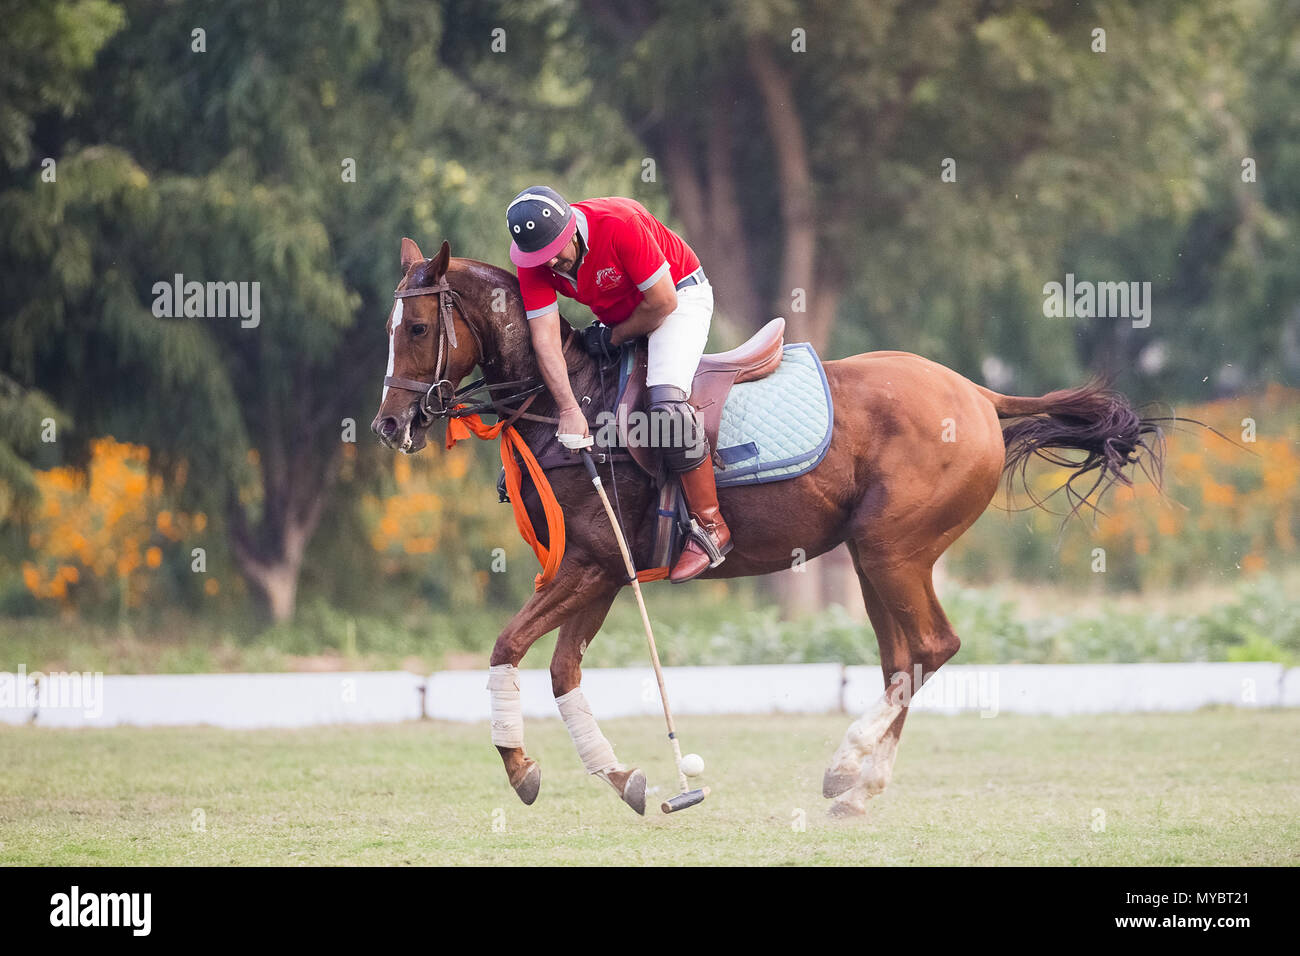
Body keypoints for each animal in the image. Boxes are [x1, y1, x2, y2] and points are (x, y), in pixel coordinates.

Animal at [370, 238, 1163, 817]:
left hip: (893, 547)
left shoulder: (590, 565)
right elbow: (564, 670)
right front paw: (624, 777)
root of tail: (978, 394)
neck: (571, 403)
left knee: (933, 646)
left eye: (418, 328)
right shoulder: (603, 572)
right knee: (903, 658)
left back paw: (847, 767)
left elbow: (507, 647)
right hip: (875, 556)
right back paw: (860, 787)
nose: (389, 425)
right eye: (389, 328)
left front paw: (521, 769)